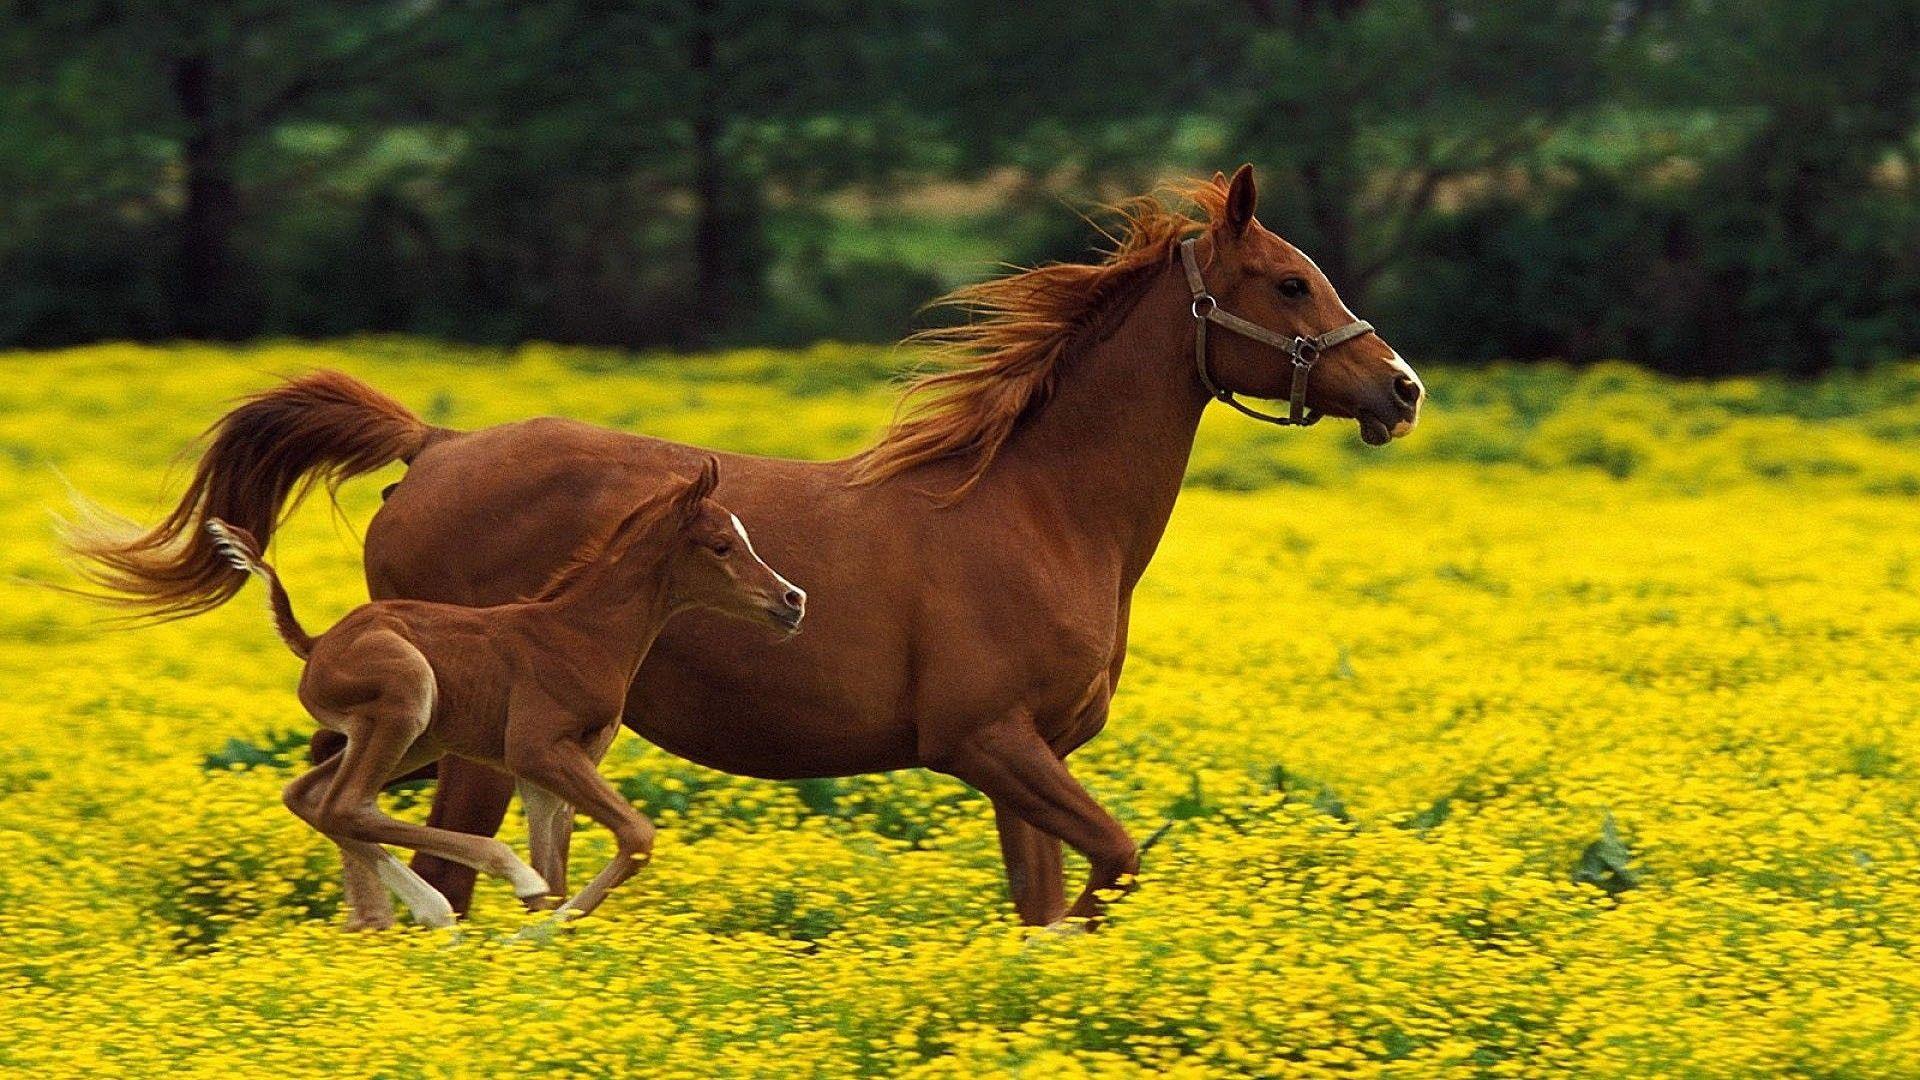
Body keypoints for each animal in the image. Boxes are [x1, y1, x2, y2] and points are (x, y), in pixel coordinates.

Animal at [202, 457, 805, 928]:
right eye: (722, 546)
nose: (792, 600)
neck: (582, 634)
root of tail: (317, 642)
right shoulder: (535, 748)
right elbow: (634, 836)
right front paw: (536, 929)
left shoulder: (551, 767)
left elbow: (561, 870)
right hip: (407, 697)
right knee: (346, 803)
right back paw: (488, 883)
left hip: (417, 738)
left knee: (312, 797)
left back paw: (431, 911)